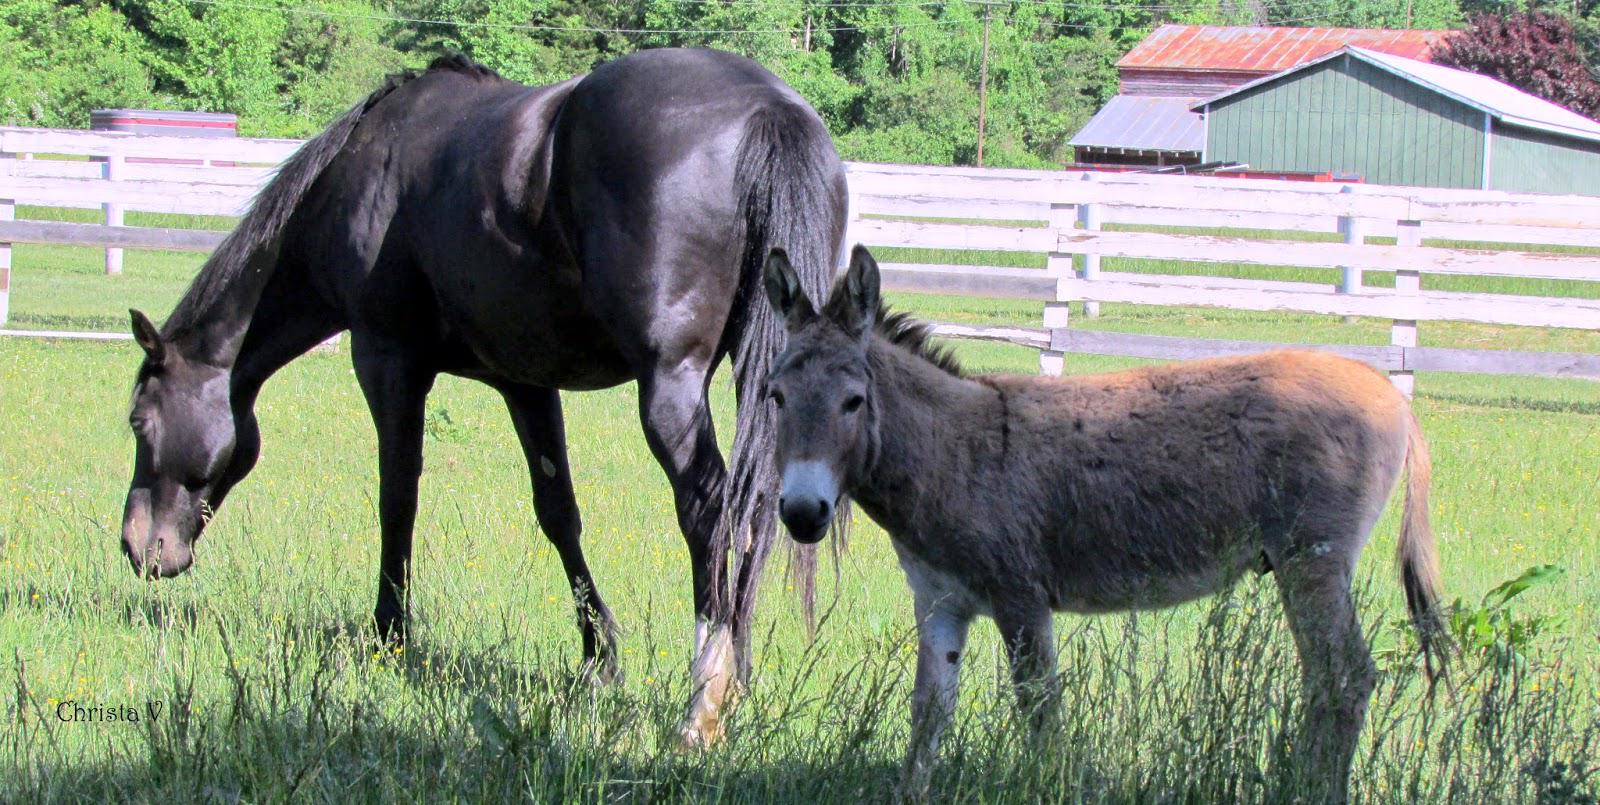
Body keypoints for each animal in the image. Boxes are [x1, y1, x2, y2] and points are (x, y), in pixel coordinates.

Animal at [120, 49, 847, 746]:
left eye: (138, 420)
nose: (139, 548)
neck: (364, 171)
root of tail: (769, 110)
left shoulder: (387, 360)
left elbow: (397, 498)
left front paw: (390, 636)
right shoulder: (526, 382)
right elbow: (558, 513)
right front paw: (599, 656)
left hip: (669, 386)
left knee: (709, 511)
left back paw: (704, 703)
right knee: (753, 509)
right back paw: (738, 678)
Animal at [761, 245, 1449, 800]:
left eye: (854, 402)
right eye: (775, 397)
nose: (801, 513)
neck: (952, 452)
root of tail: (1394, 396)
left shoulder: (1020, 597)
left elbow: (1040, 713)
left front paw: (1043, 789)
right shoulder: (940, 604)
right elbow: (928, 717)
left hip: (1313, 559)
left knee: (1343, 678)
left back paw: (1312, 790)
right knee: (1330, 678)